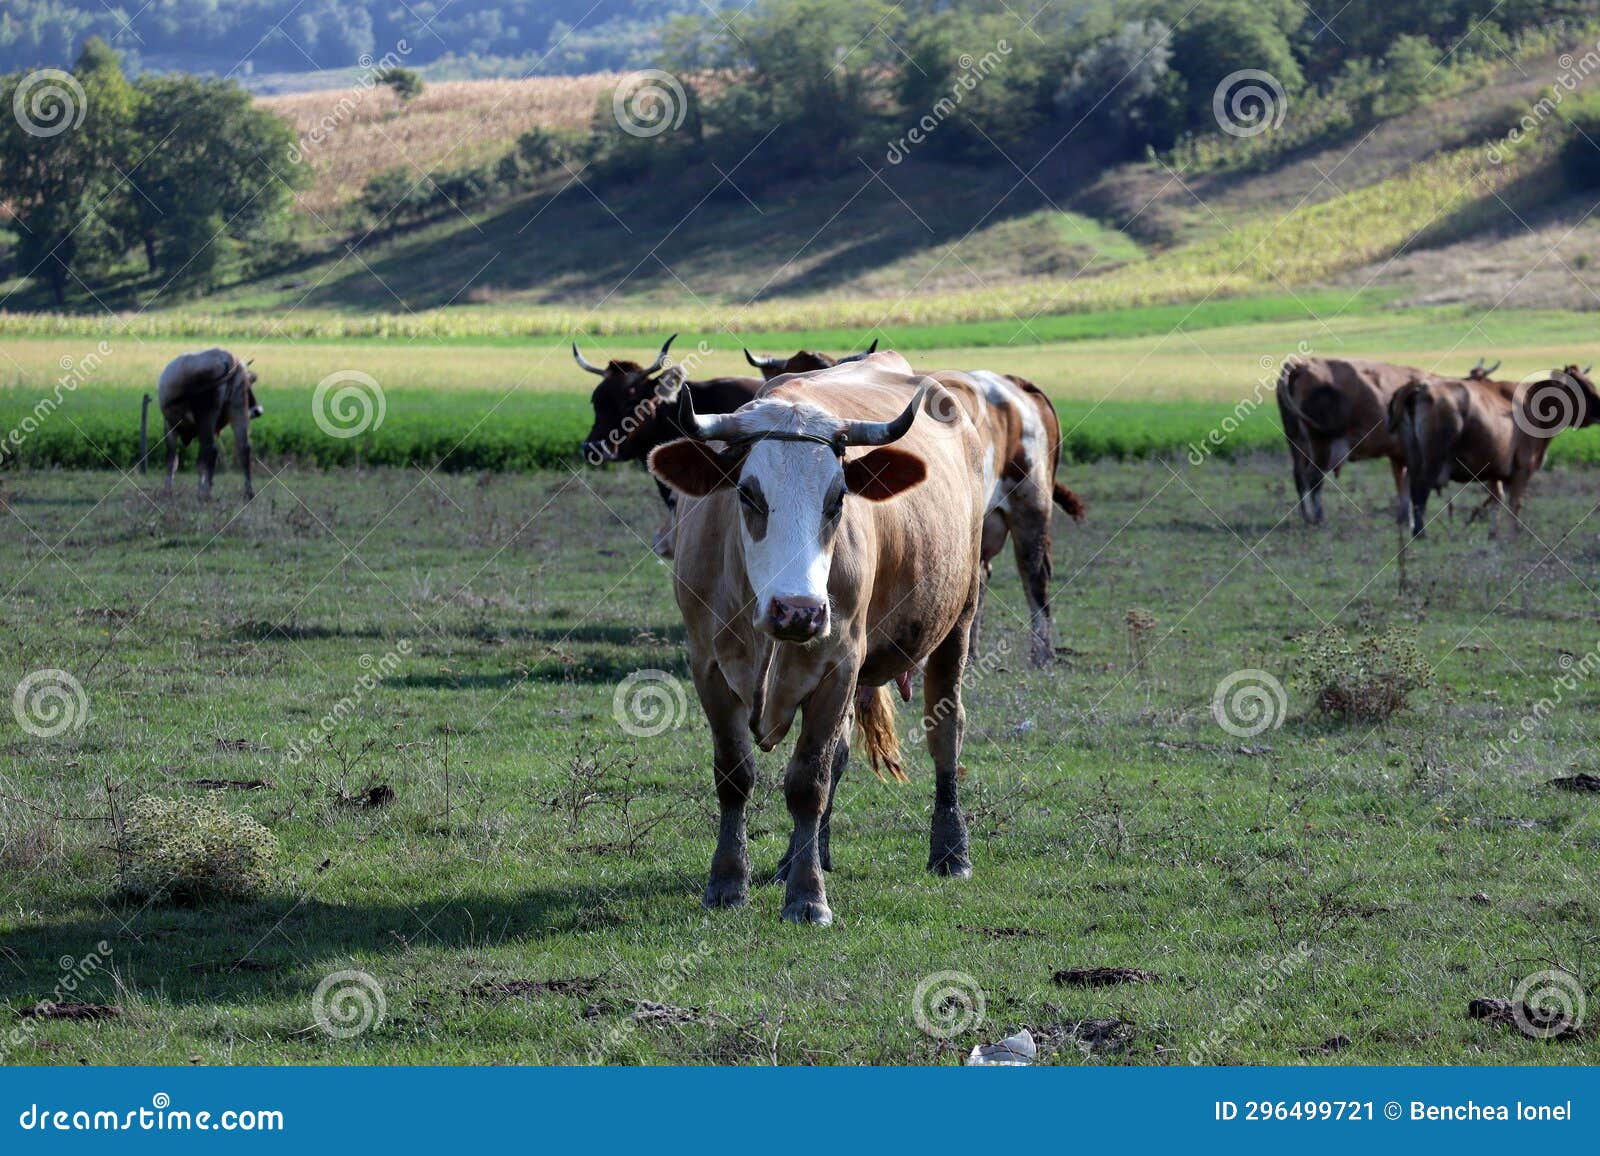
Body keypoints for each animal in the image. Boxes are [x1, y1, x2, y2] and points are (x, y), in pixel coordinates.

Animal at [157, 348, 261, 501]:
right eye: (250, 385)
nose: (258, 410)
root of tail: (227, 357)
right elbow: (199, 463)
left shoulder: (169, 426)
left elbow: (172, 461)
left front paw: (167, 490)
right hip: (238, 409)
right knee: (244, 448)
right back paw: (249, 492)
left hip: (206, 417)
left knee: (211, 450)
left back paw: (206, 494)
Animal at [648, 352, 987, 924]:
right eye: (748, 494)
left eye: (838, 498)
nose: (799, 611)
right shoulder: (707, 665)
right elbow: (736, 775)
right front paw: (729, 882)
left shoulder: (837, 664)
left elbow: (809, 783)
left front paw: (807, 897)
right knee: (842, 751)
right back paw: (799, 856)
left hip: (957, 619)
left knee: (946, 729)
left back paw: (951, 851)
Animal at [1388, 364, 1600, 538]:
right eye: (1582, 388)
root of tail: (1420, 386)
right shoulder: (1523, 468)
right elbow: (1515, 503)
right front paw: (1514, 535)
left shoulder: (1495, 470)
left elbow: (1497, 499)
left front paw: (1494, 533)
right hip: (1432, 460)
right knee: (1420, 491)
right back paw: (1420, 533)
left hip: (1414, 458)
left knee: (1411, 490)